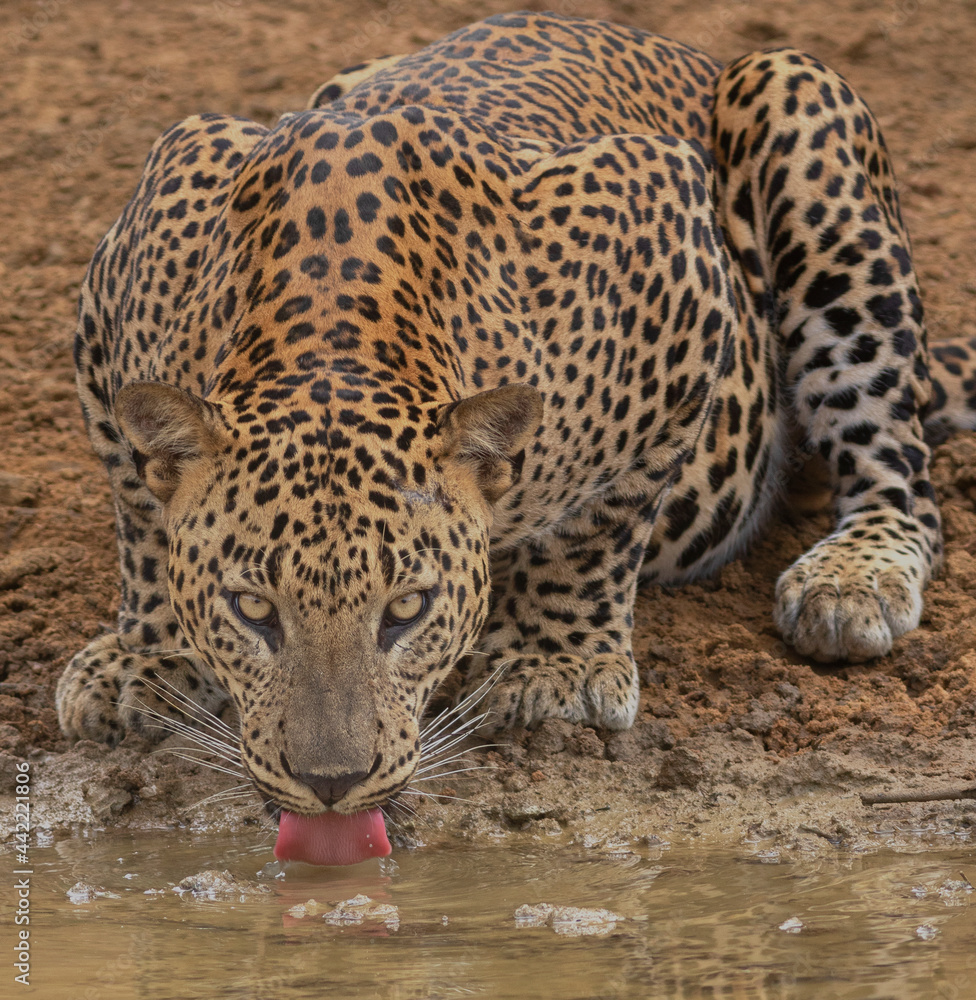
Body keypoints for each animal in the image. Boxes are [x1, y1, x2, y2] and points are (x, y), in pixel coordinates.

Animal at [56, 11, 976, 824]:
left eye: (407, 610)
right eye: (253, 610)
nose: (330, 783)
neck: (330, 330)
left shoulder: (670, 244)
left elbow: (599, 520)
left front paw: (554, 663)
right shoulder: (116, 295)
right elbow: (144, 513)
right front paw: (148, 652)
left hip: (800, 112)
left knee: (898, 467)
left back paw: (853, 576)